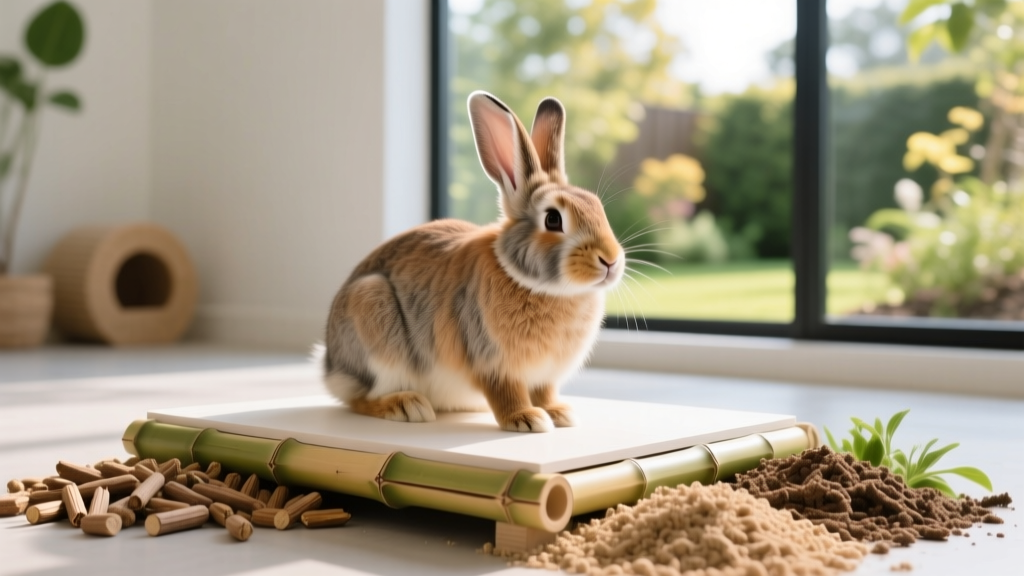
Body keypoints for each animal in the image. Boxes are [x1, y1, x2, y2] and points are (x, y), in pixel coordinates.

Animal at [322, 91, 624, 432]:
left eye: (597, 206)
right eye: (553, 219)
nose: (611, 260)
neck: (539, 286)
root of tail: (331, 366)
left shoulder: (544, 376)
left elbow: (545, 392)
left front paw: (559, 413)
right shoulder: (491, 361)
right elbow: (506, 393)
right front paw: (527, 419)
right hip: (372, 318)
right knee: (360, 398)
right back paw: (406, 406)